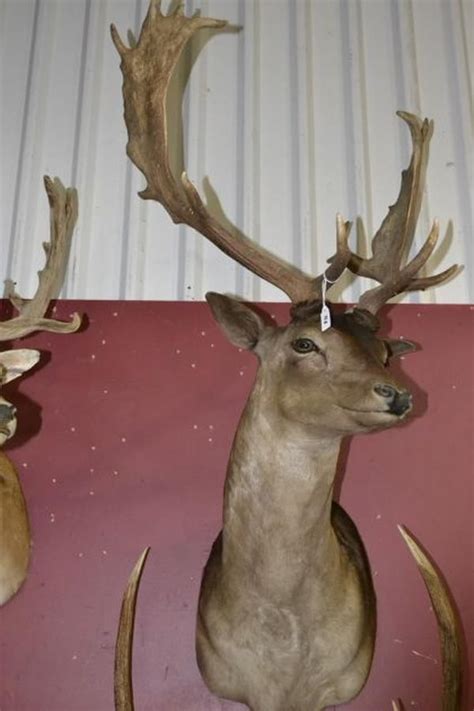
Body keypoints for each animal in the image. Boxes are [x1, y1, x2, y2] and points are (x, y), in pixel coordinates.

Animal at [111, 2, 460, 709]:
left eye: (386, 348)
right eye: (304, 342)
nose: (398, 393)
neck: (285, 639)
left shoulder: (344, 681)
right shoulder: (232, 685)